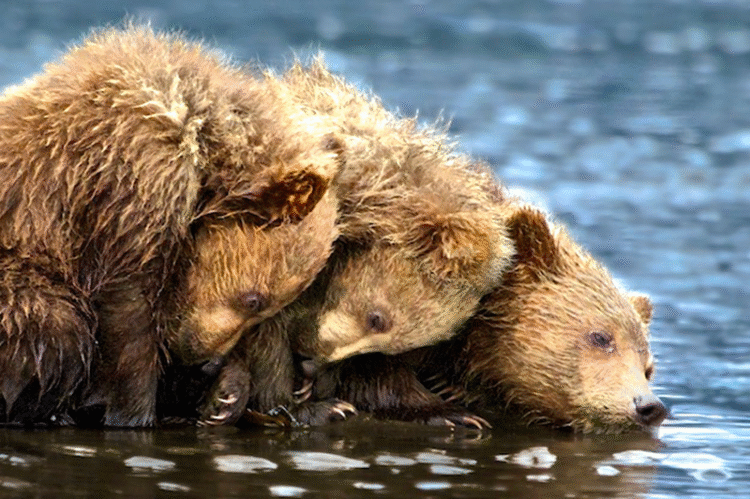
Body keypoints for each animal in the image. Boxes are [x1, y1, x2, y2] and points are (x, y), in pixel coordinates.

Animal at [0, 25, 342, 427]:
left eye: (267, 309)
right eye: (253, 300)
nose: (206, 361)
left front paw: (239, 396)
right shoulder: (131, 183)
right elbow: (129, 315)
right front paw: (136, 412)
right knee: (54, 324)